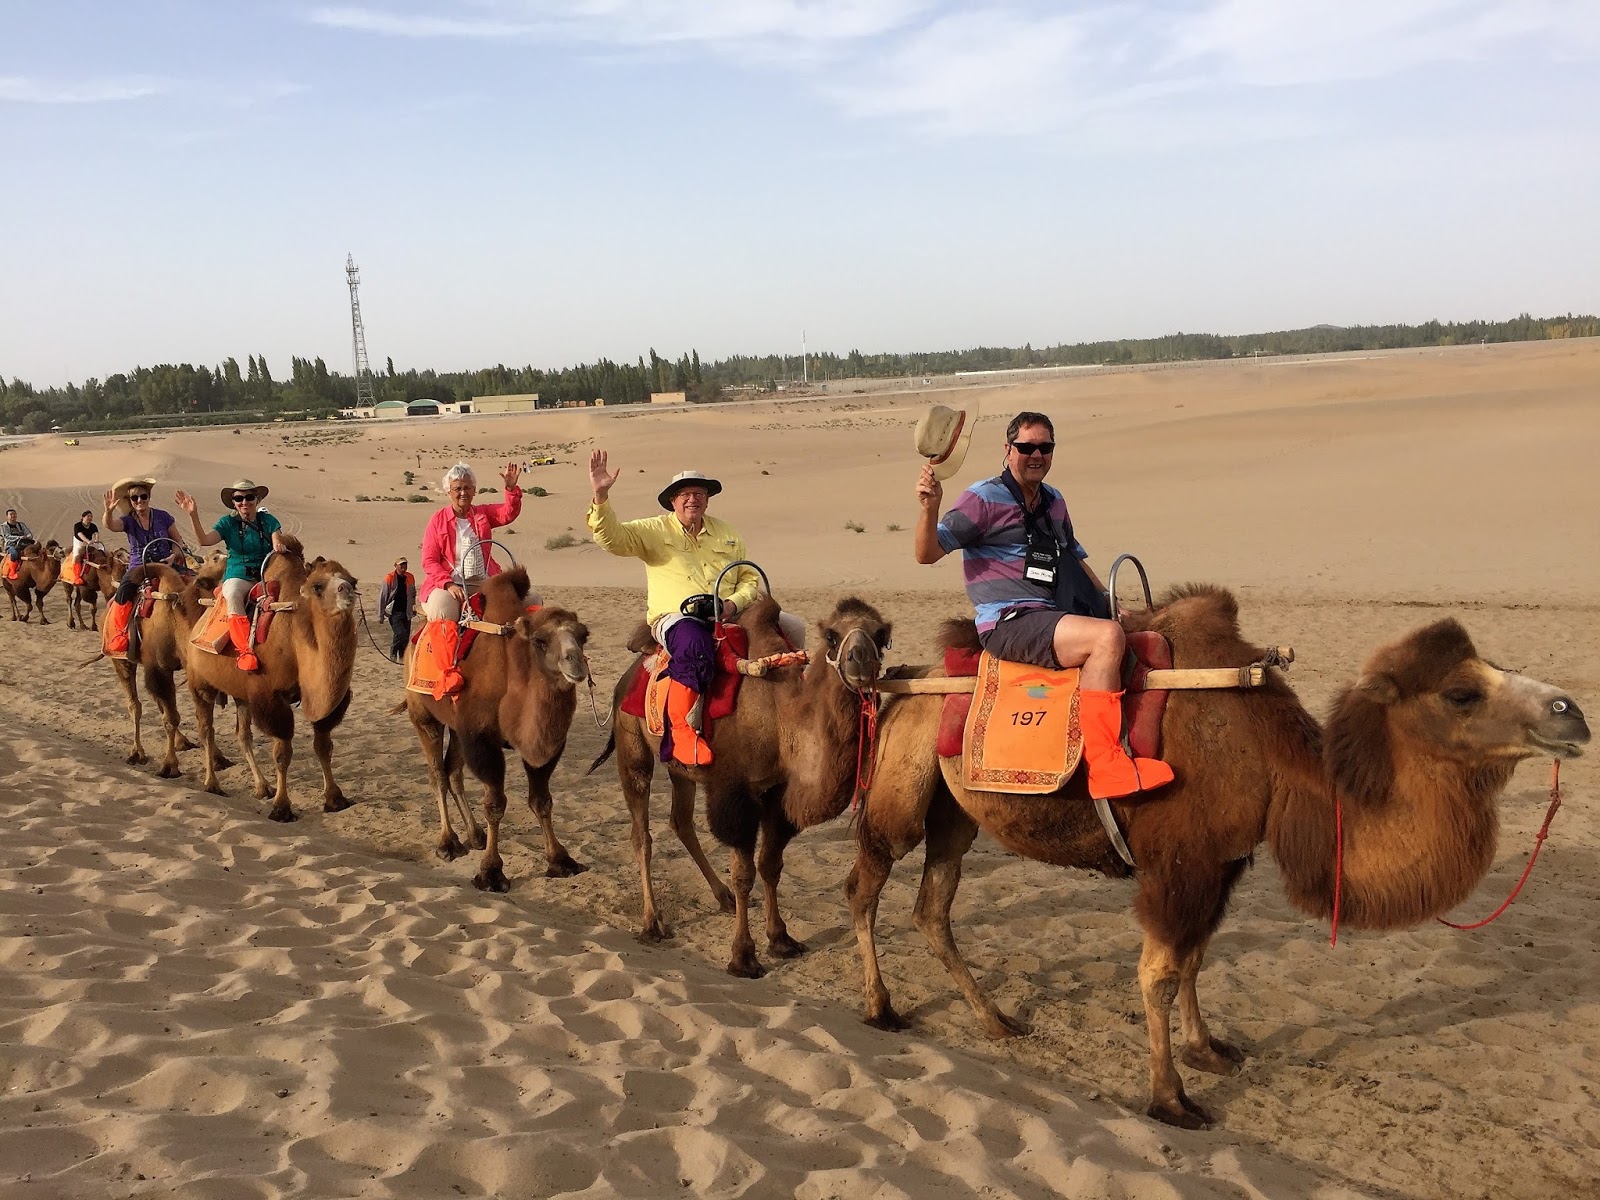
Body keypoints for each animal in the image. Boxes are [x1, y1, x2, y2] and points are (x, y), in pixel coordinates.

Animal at [186, 538, 359, 822]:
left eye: (352, 580)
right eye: (317, 586)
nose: (347, 591)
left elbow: (324, 745)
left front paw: (335, 798)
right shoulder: (271, 697)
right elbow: (282, 754)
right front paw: (282, 807)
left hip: (242, 695)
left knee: (242, 735)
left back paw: (262, 787)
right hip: (200, 683)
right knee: (206, 729)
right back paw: (212, 784)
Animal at [403, 567, 591, 891]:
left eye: (583, 636)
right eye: (540, 640)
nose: (575, 663)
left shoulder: (543, 744)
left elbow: (542, 800)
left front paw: (561, 860)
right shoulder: (482, 740)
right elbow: (495, 804)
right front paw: (491, 872)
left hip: (457, 728)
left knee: (453, 771)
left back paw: (475, 835)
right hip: (423, 714)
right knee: (437, 774)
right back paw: (448, 843)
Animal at [590, 597, 891, 978]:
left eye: (881, 634)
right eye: (832, 636)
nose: (860, 661)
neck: (782, 719)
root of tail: (628, 676)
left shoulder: (777, 792)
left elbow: (771, 865)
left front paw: (781, 939)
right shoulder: (736, 793)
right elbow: (744, 873)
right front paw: (743, 956)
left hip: (680, 765)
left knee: (681, 821)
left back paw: (722, 898)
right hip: (633, 745)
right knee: (641, 834)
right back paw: (652, 922)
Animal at [847, 584, 1590, 1130]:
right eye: (1461, 693)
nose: (1572, 712)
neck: (1272, 758)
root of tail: (898, 683)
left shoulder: (1221, 863)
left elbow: (1197, 960)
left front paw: (1208, 1050)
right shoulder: (1181, 864)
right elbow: (1158, 974)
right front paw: (1170, 1098)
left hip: (954, 813)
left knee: (932, 908)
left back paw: (996, 1020)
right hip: (901, 792)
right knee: (867, 882)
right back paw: (881, 1008)